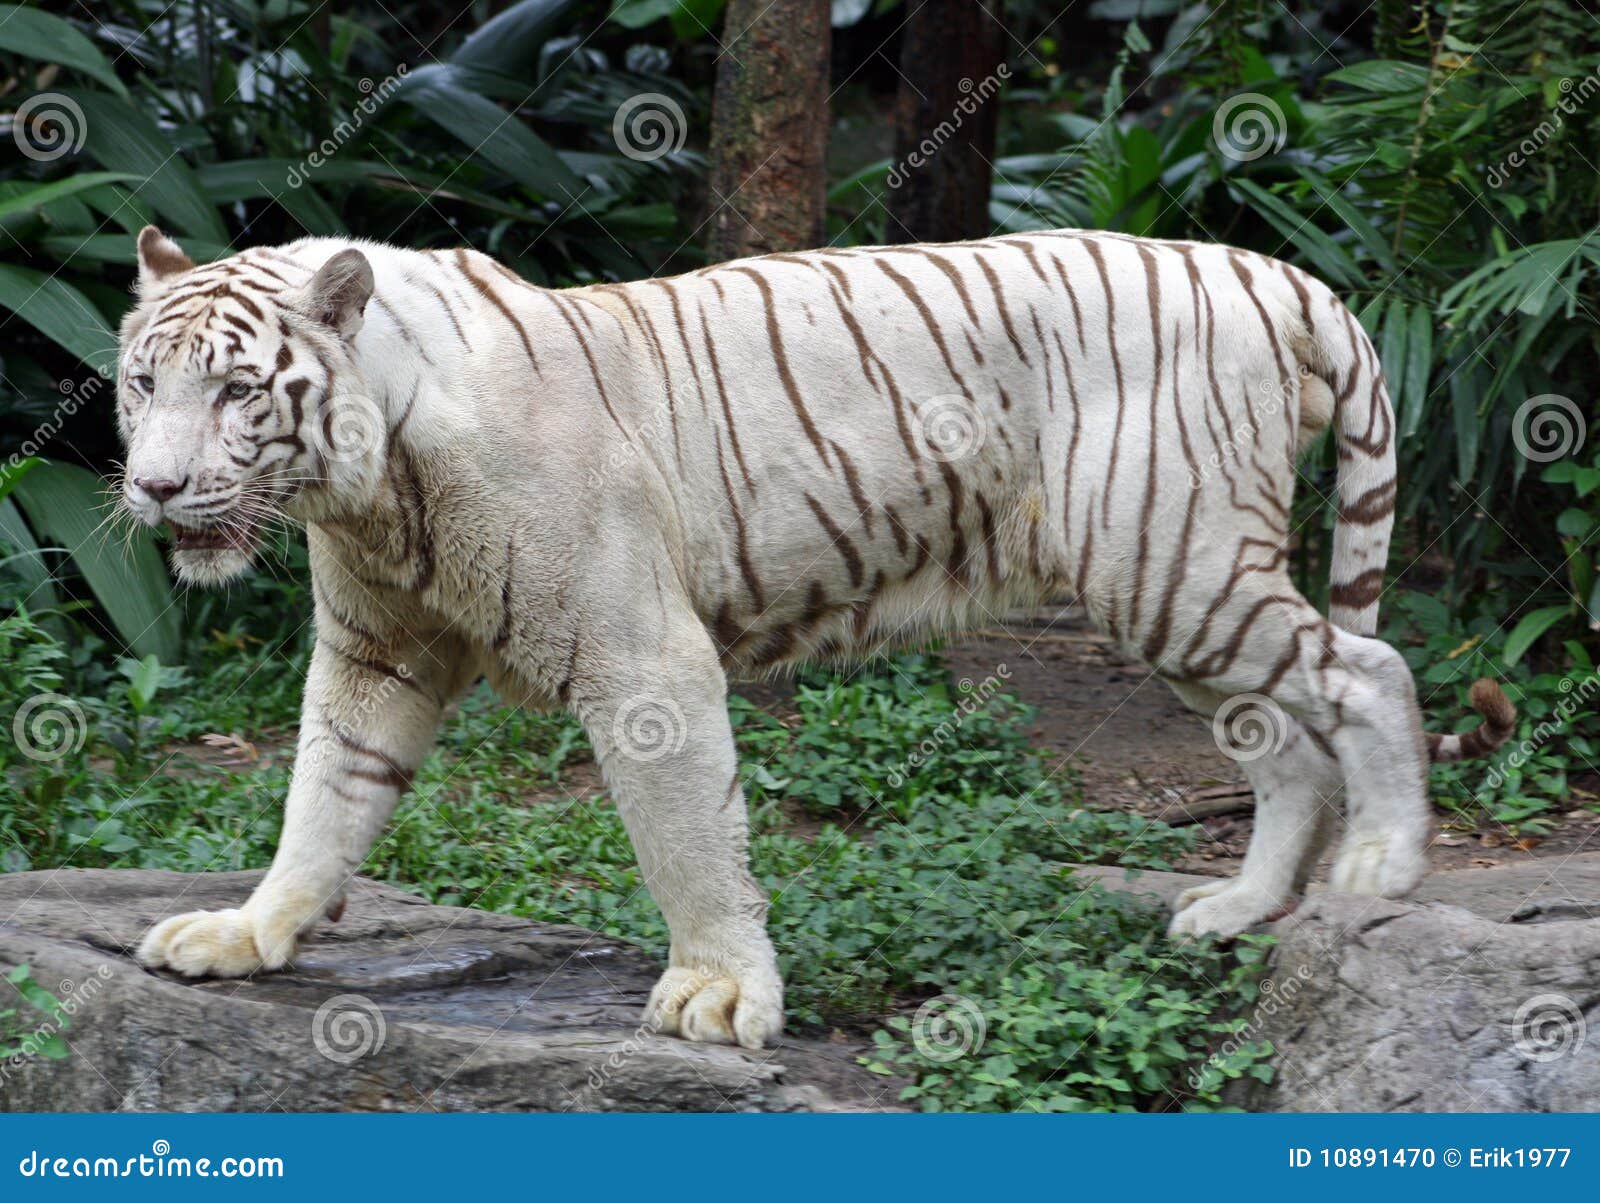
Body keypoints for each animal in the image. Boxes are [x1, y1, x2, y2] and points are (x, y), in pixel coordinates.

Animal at [121, 224, 1513, 1050]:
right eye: (143, 382)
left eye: (238, 391)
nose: (152, 488)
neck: (372, 485)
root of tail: (1271, 271)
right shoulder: (378, 655)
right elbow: (323, 797)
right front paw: (246, 932)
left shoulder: (643, 659)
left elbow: (686, 840)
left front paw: (720, 996)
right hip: (1175, 591)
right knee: (1282, 736)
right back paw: (1238, 909)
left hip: (1172, 559)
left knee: (1368, 668)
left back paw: (1379, 868)